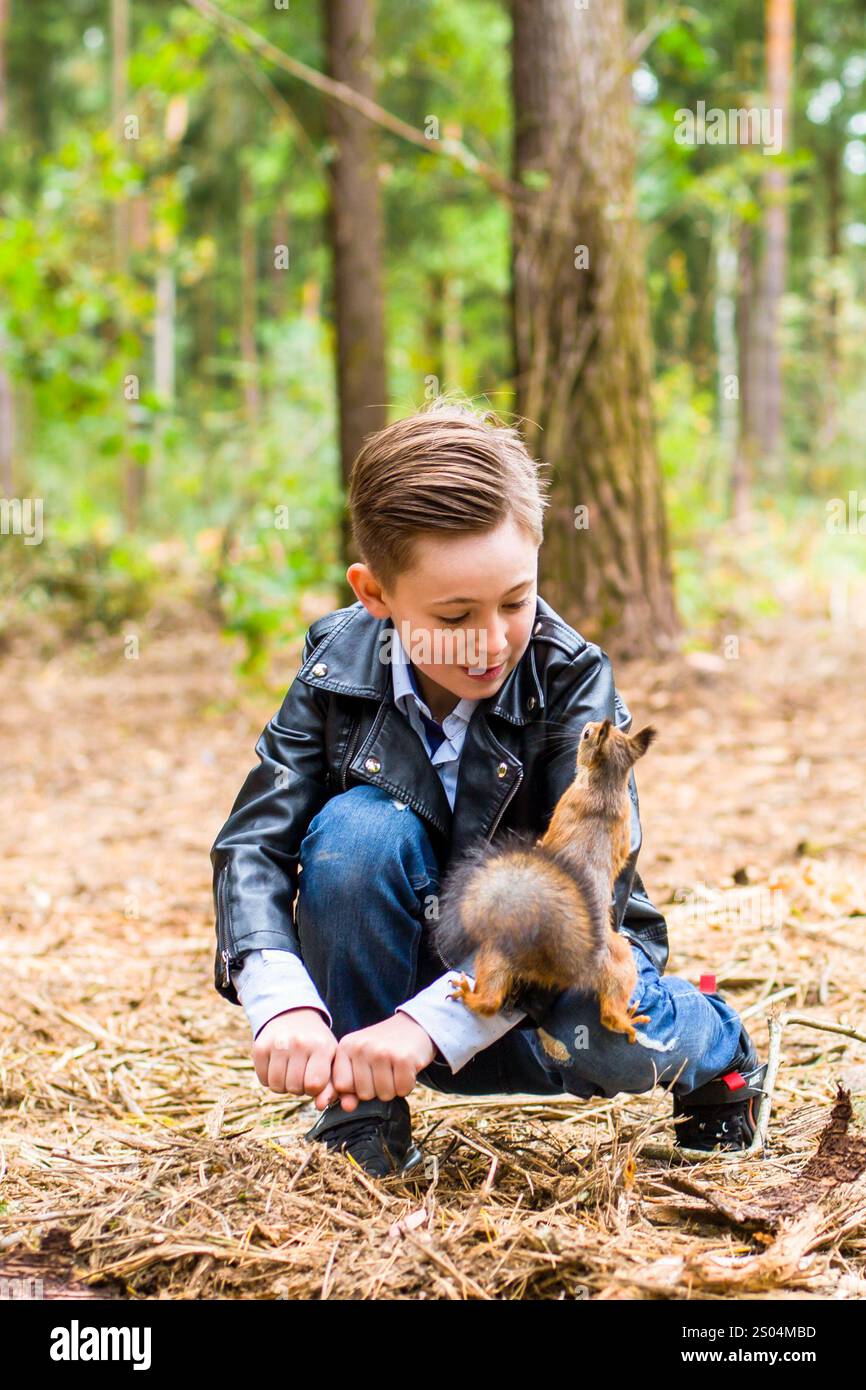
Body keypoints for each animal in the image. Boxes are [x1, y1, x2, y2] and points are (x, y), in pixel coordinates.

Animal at [432, 718, 657, 1043]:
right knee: (610, 1012)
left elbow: (548, 838)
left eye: (587, 735)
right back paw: (627, 1021)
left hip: (498, 951)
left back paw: (467, 994)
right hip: (623, 964)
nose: (587, 723)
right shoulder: (623, 828)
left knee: (490, 1000)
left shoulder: (565, 806)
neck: (605, 787)